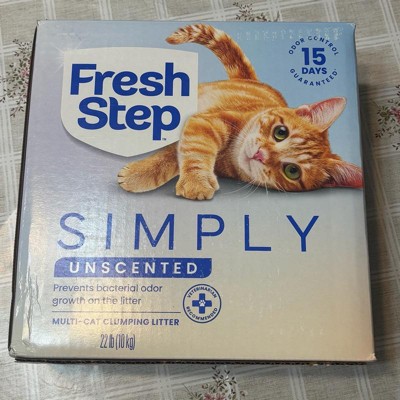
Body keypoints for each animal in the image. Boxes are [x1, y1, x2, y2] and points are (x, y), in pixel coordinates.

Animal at [118, 24, 363, 200]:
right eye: (280, 132)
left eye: (292, 171)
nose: (261, 155)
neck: (229, 158)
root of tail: (252, 80)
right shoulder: (205, 122)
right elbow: (189, 150)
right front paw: (191, 179)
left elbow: (177, 153)